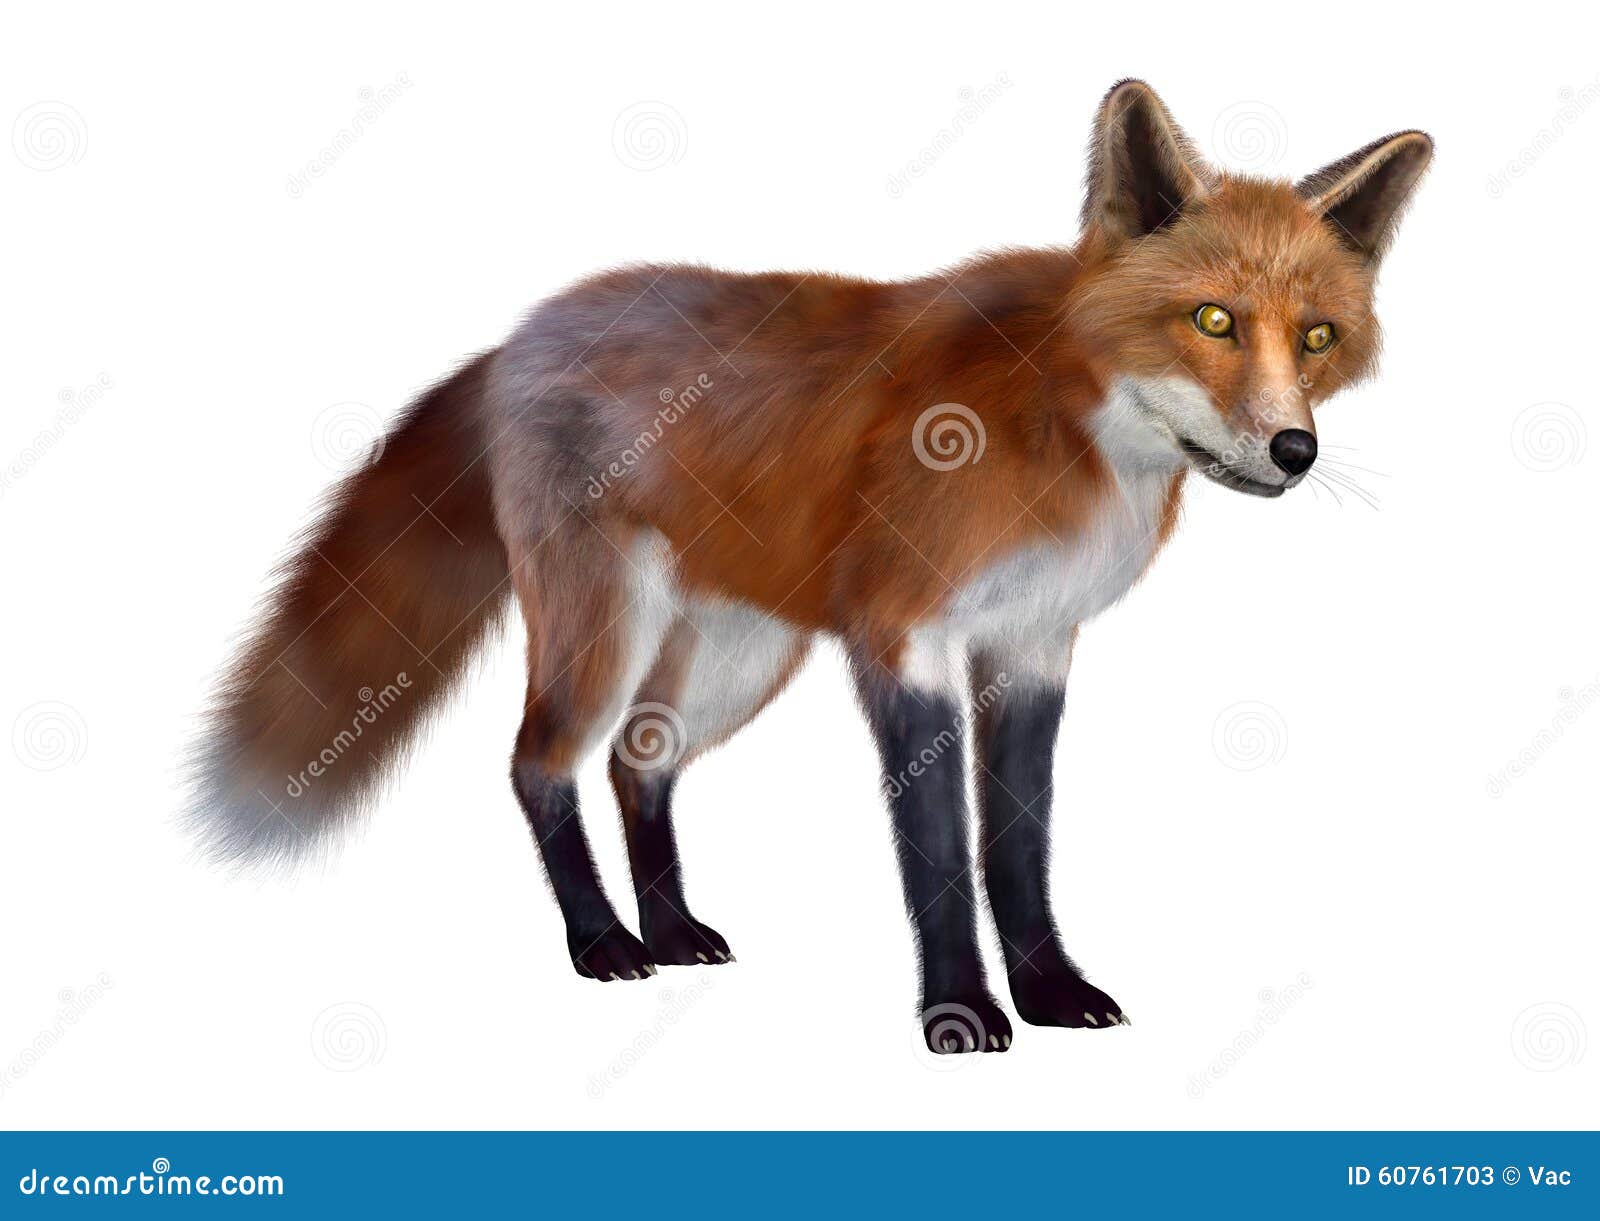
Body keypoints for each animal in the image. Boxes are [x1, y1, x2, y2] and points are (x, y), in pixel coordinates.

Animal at [188, 80, 1431, 1054]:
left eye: (1316, 338)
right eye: (1212, 321)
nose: (1294, 451)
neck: (1063, 440)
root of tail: (519, 335)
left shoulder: (1032, 644)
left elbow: (1017, 842)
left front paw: (1049, 991)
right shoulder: (904, 636)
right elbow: (938, 850)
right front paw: (958, 1016)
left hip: (739, 661)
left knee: (637, 764)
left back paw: (670, 933)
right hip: (607, 633)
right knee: (537, 765)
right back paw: (602, 943)